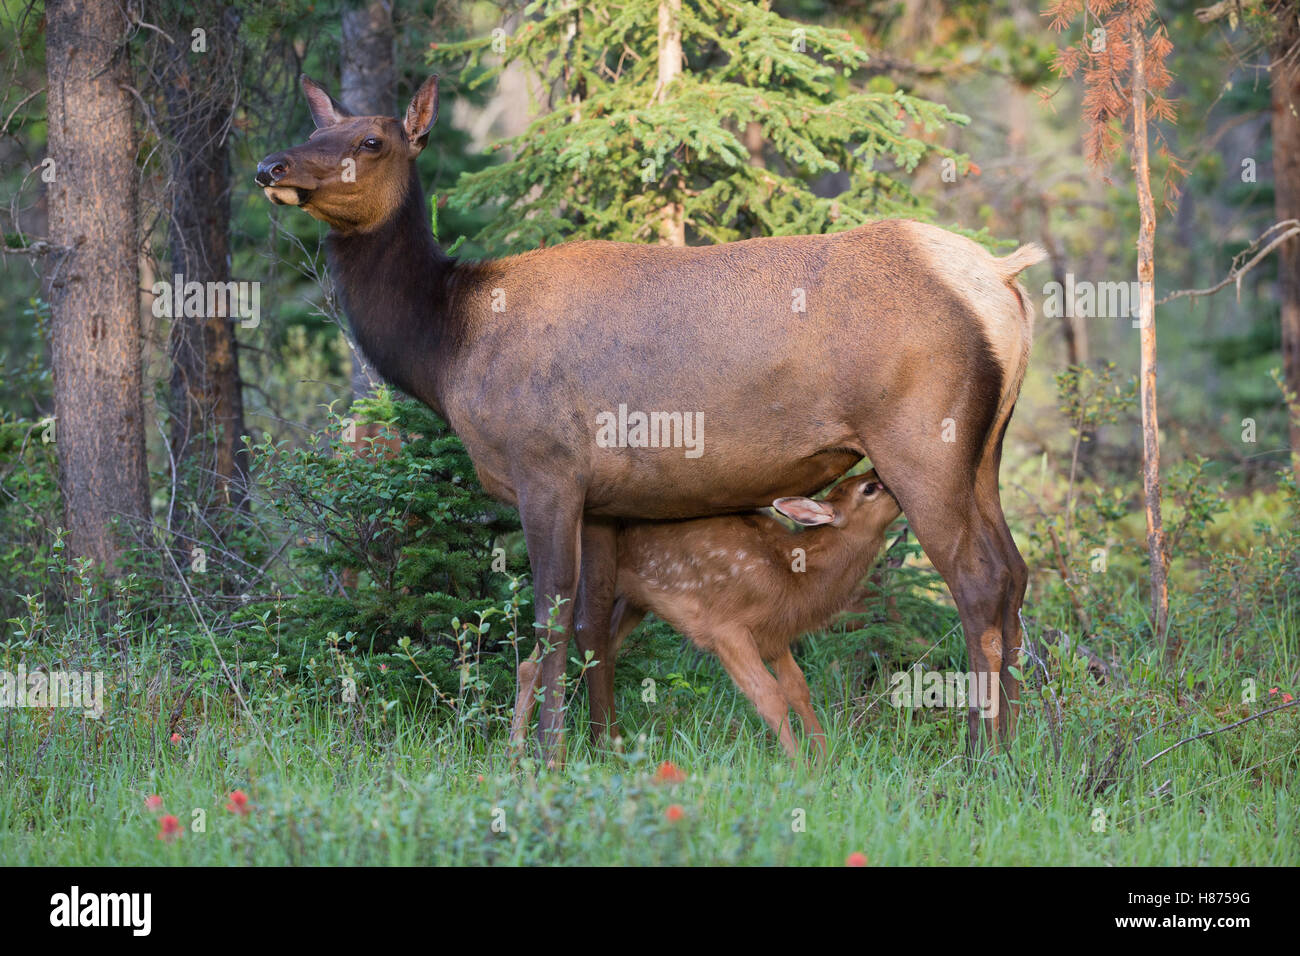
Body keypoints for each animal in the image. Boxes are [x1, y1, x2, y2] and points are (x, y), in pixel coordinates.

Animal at [509, 470, 902, 760]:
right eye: (869, 488)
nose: (881, 473)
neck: (791, 575)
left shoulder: (775, 637)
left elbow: (798, 690)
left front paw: (825, 761)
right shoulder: (726, 628)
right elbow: (769, 696)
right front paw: (799, 768)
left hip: (635, 601)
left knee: (573, 653)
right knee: (546, 650)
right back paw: (522, 758)